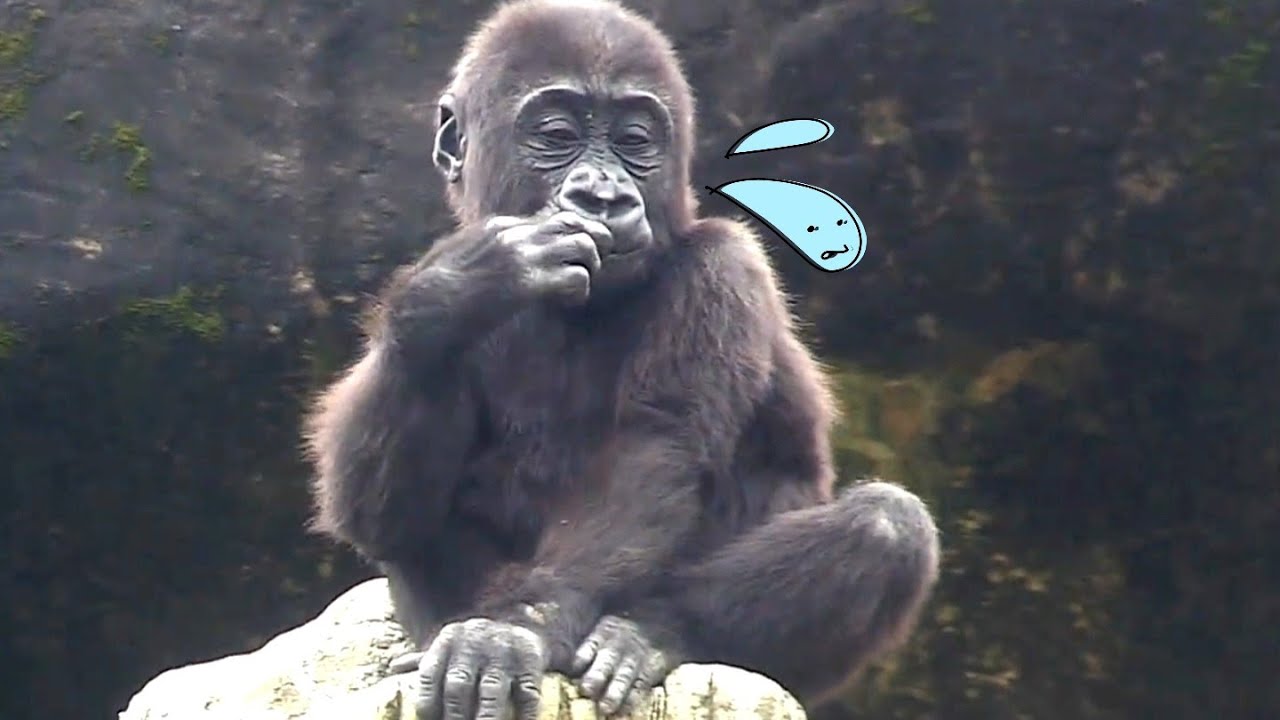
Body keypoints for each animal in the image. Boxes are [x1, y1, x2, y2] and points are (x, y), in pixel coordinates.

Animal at [303, 2, 941, 720]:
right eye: (557, 134)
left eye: (635, 141)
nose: (604, 195)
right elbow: (373, 510)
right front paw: (454, 292)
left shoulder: (724, 265)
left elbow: (655, 446)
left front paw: (517, 629)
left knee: (887, 528)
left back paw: (651, 634)